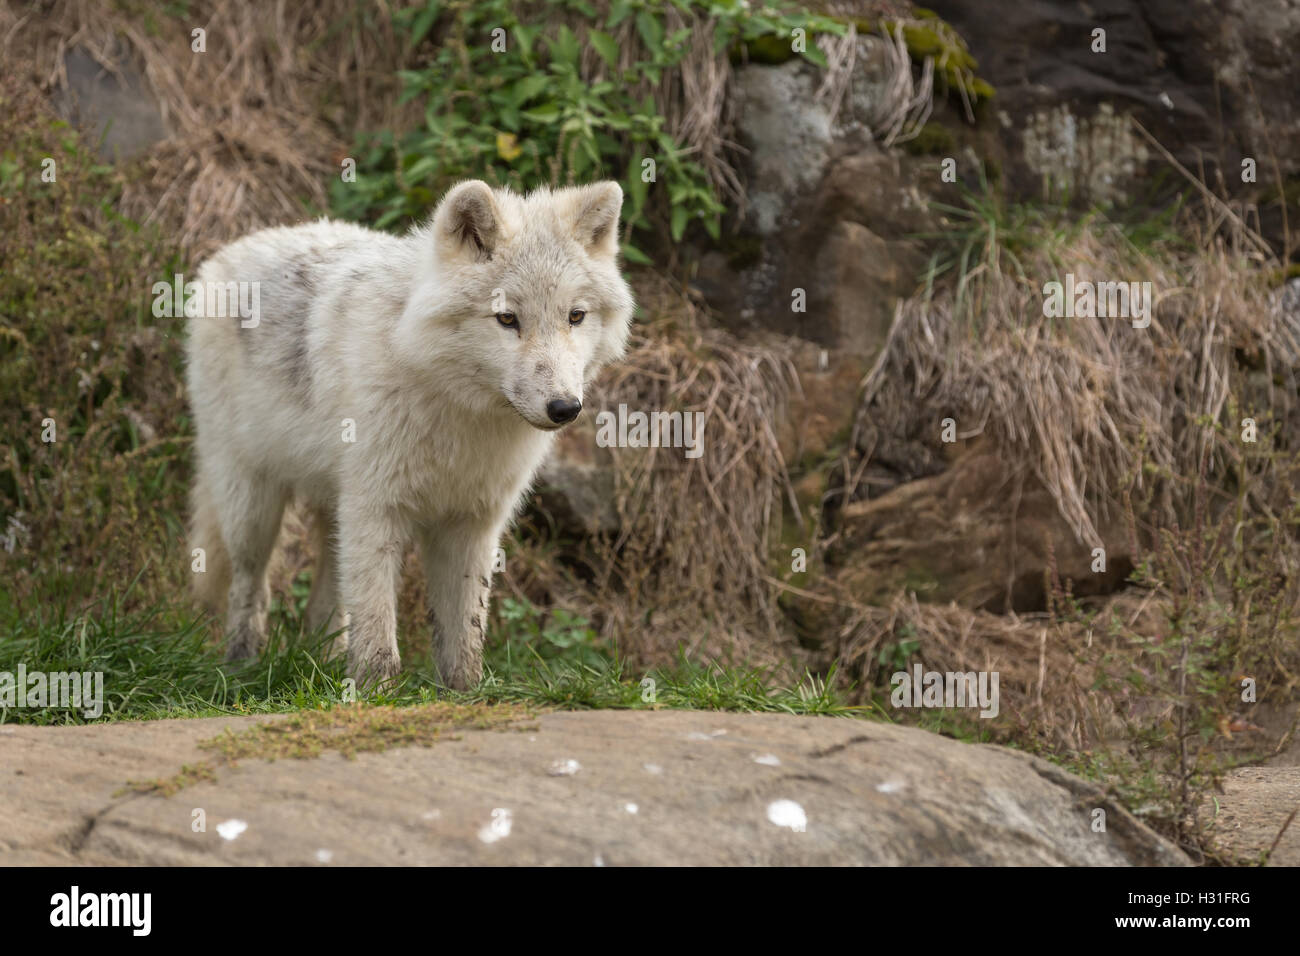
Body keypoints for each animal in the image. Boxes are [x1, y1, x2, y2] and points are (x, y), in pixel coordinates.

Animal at [186, 180, 633, 688]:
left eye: (575, 316)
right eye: (507, 319)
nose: (564, 408)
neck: (460, 412)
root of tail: (228, 250)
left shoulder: (472, 522)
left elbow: (464, 629)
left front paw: (465, 692)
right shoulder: (376, 508)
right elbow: (378, 625)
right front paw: (375, 692)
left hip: (332, 511)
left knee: (326, 598)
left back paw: (322, 662)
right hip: (253, 508)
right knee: (251, 586)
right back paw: (242, 667)